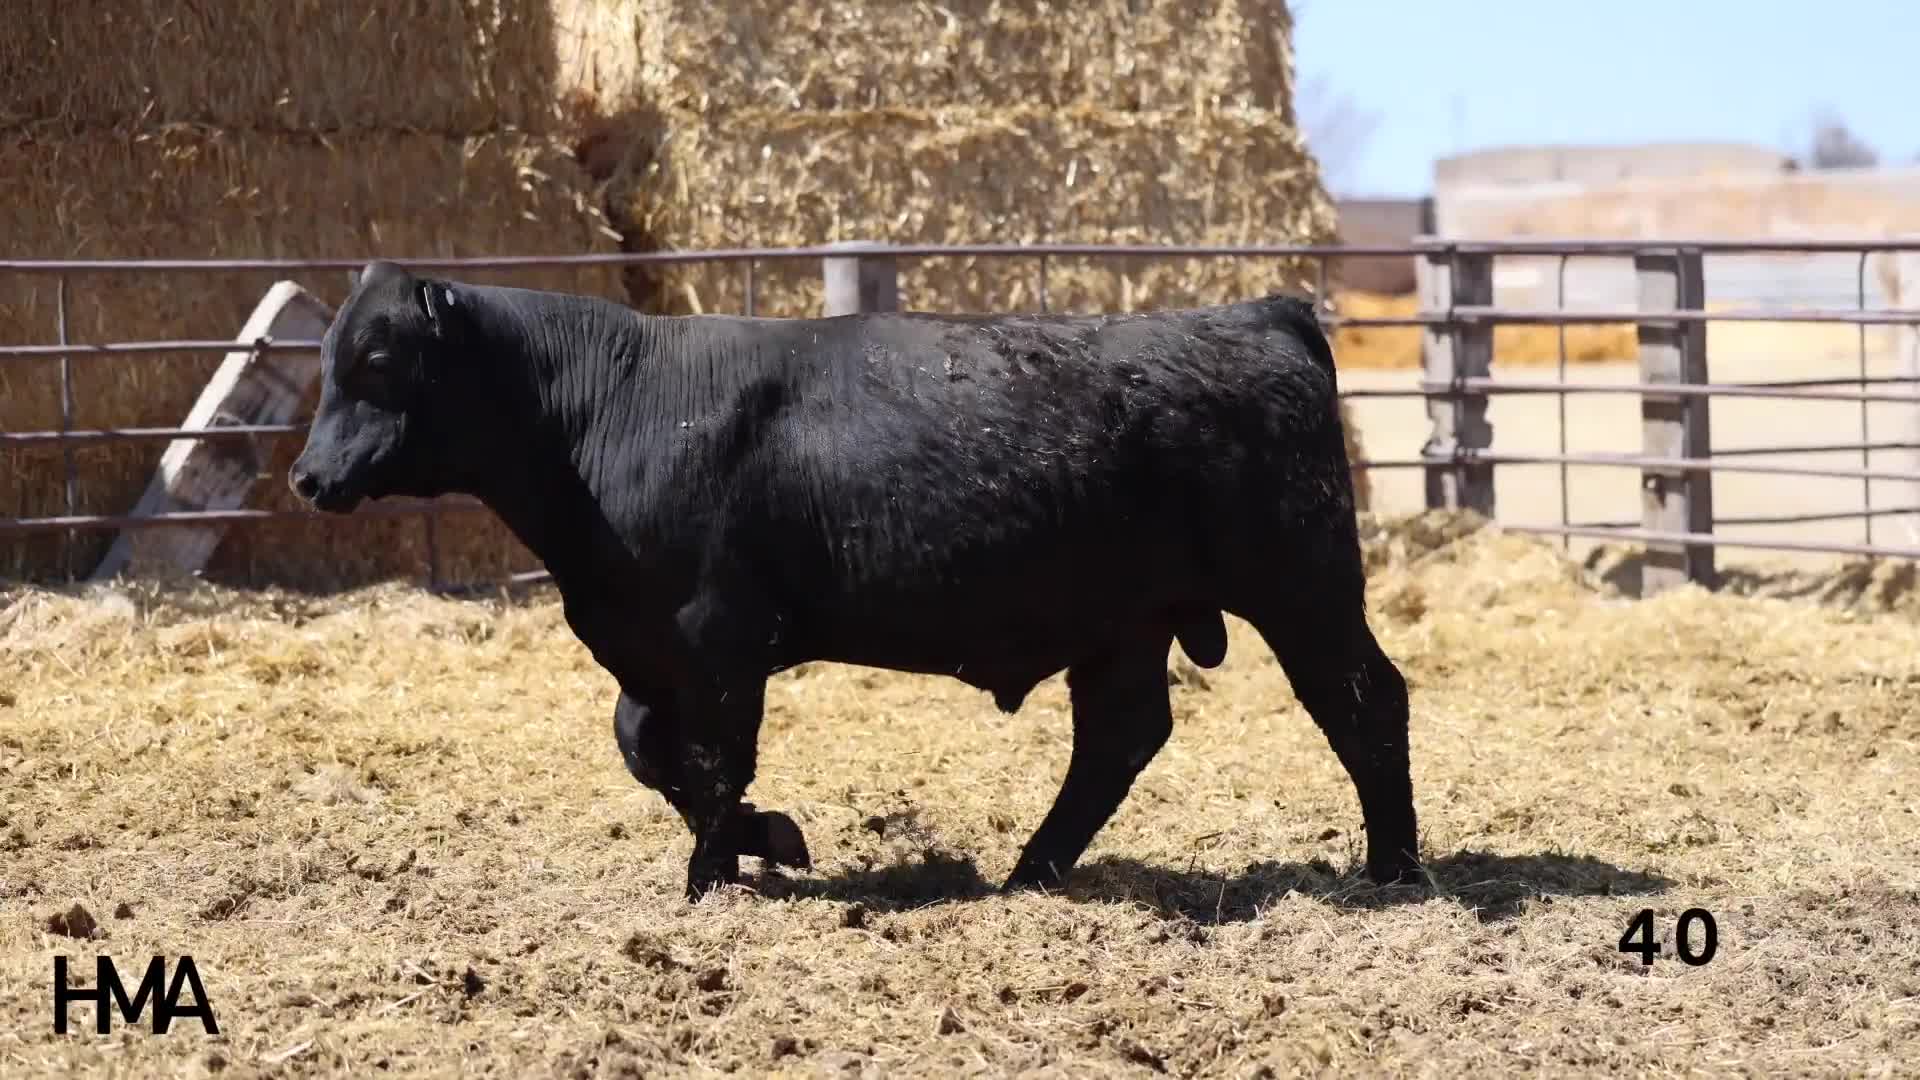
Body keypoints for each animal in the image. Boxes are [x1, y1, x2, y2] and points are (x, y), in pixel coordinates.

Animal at [289, 261, 1418, 901]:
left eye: (380, 360)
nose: (307, 477)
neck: (612, 407)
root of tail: (1262, 313)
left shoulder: (718, 640)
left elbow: (713, 764)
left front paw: (713, 879)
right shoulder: (647, 648)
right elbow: (650, 753)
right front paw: (769, 841)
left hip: (1302, 585)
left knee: (1365, 700)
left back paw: (1395, 870)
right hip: (1124, 618)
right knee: (1120, 737)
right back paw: (1031, 872)